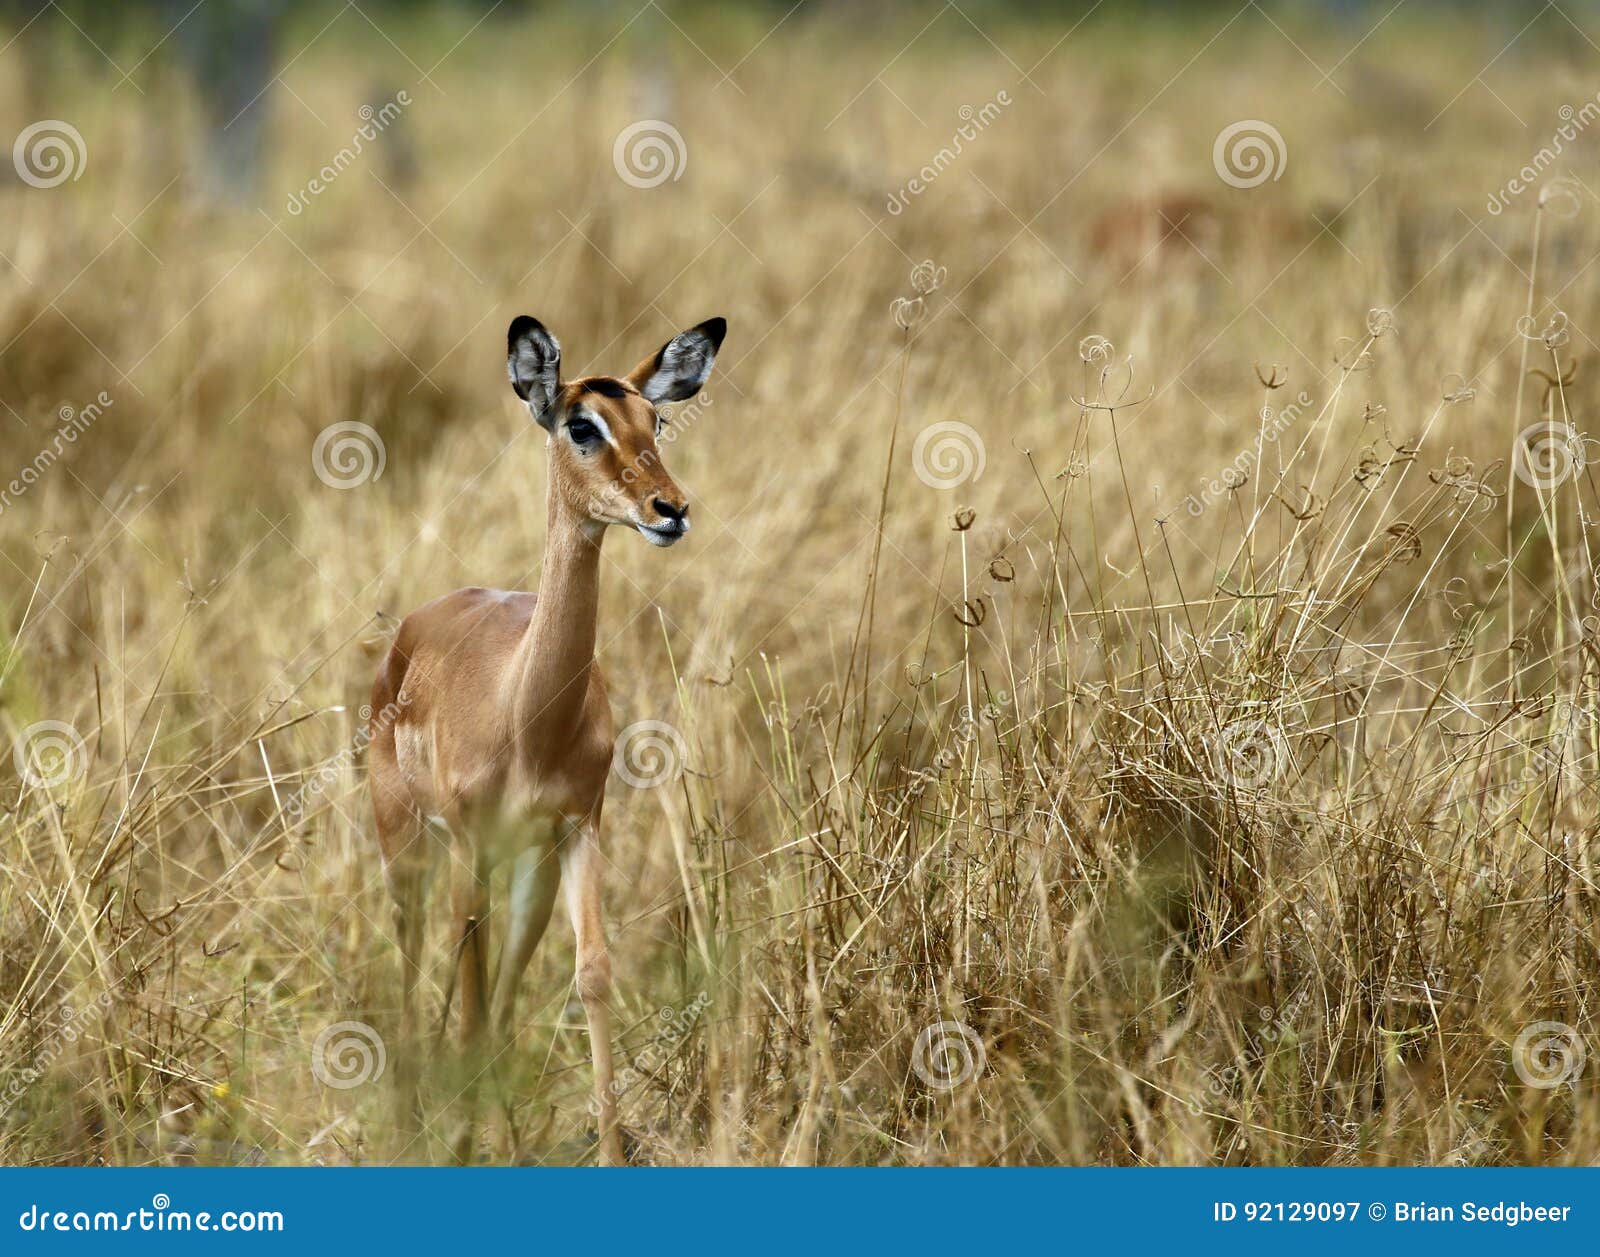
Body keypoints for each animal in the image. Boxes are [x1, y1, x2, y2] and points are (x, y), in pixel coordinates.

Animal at [367, 312, 726, 1164]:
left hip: (521, 864)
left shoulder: (577, 827)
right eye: (581, 424)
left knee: (496, 1000)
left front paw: (609, 1147)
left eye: (656, 419)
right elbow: (465, 994)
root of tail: (412, 628)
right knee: (414, 970)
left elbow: (591, 972)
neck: (526, 713)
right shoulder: (470, 845)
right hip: (410, 846)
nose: (670, 508)